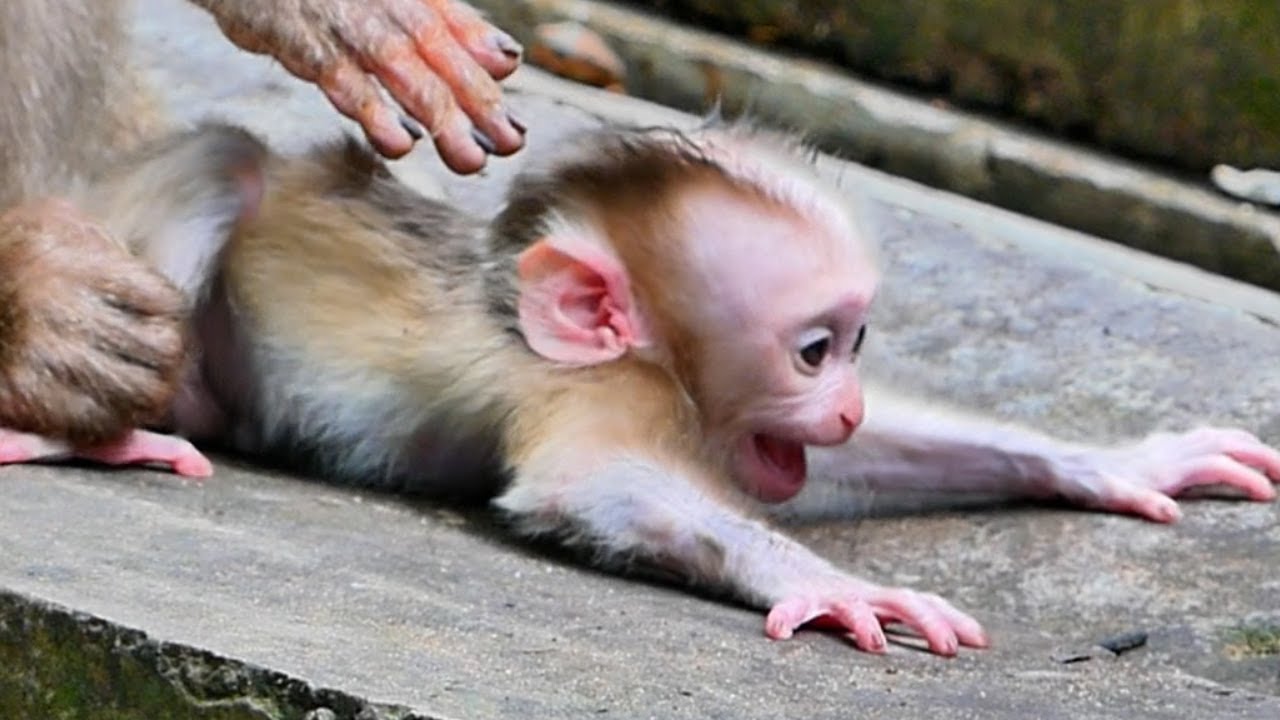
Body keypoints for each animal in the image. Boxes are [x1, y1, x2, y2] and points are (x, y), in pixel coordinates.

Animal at [2, 121, 1278, 657]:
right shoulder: (611, 399)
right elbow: (589, 482)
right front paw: (832, 587)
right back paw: (87, 426)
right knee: (222, 164)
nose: (846, 402)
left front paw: (1115, 462)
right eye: (813, 350)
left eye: (858, 345)